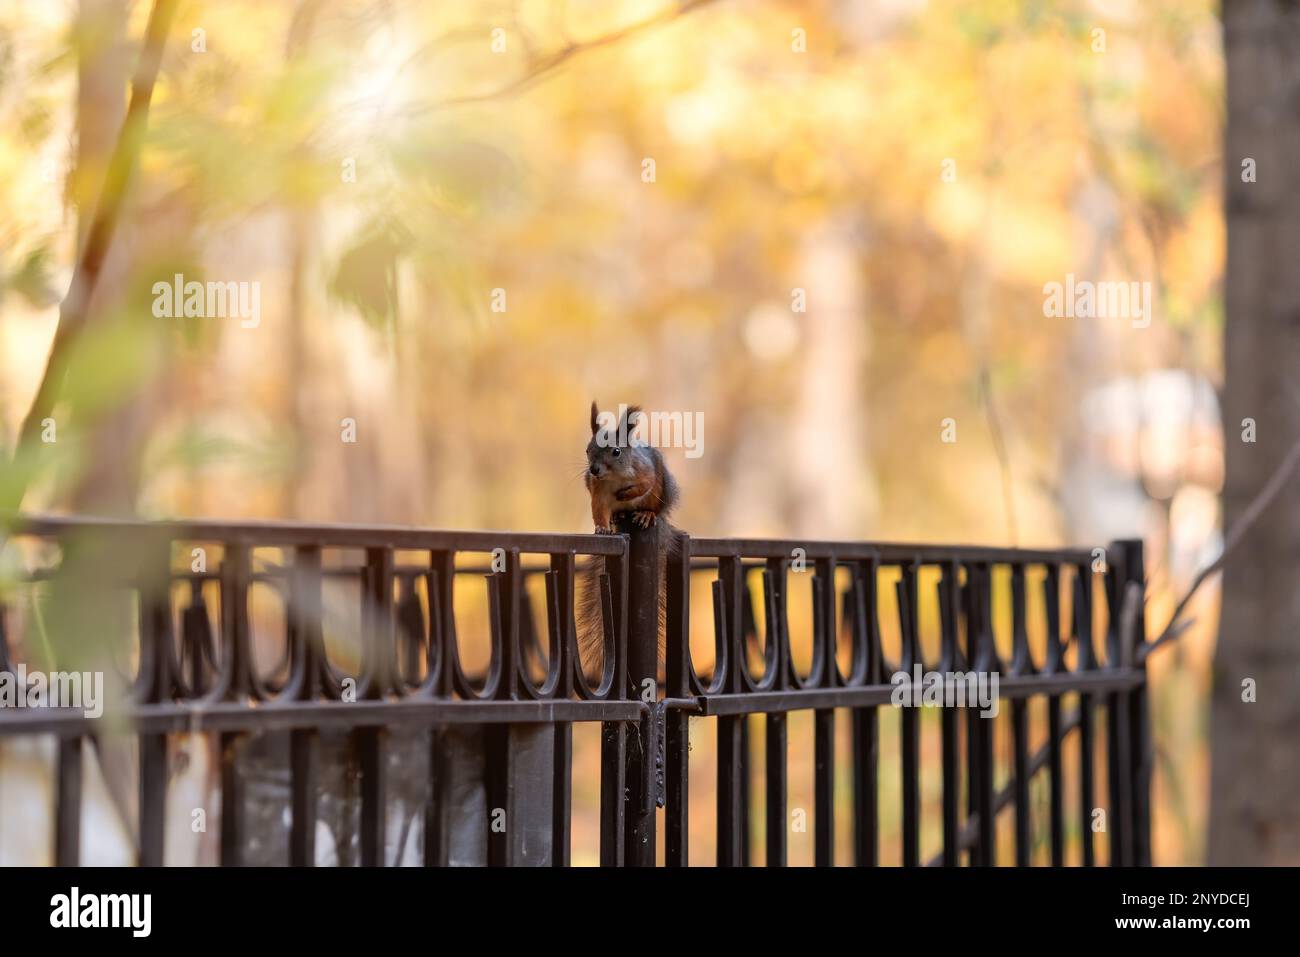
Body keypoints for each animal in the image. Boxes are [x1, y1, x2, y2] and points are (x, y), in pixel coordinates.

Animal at [577, 401, 681, 679]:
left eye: (615, 451)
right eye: (588, 449)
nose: (594, 470)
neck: (614, 478)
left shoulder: (645, 472)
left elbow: (643, 484)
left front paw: (628, 493)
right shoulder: (597, 491)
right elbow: (599, 510)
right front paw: (602, 528)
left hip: (664, 489)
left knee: (654, 505)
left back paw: (645, 515)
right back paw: (618, 516)